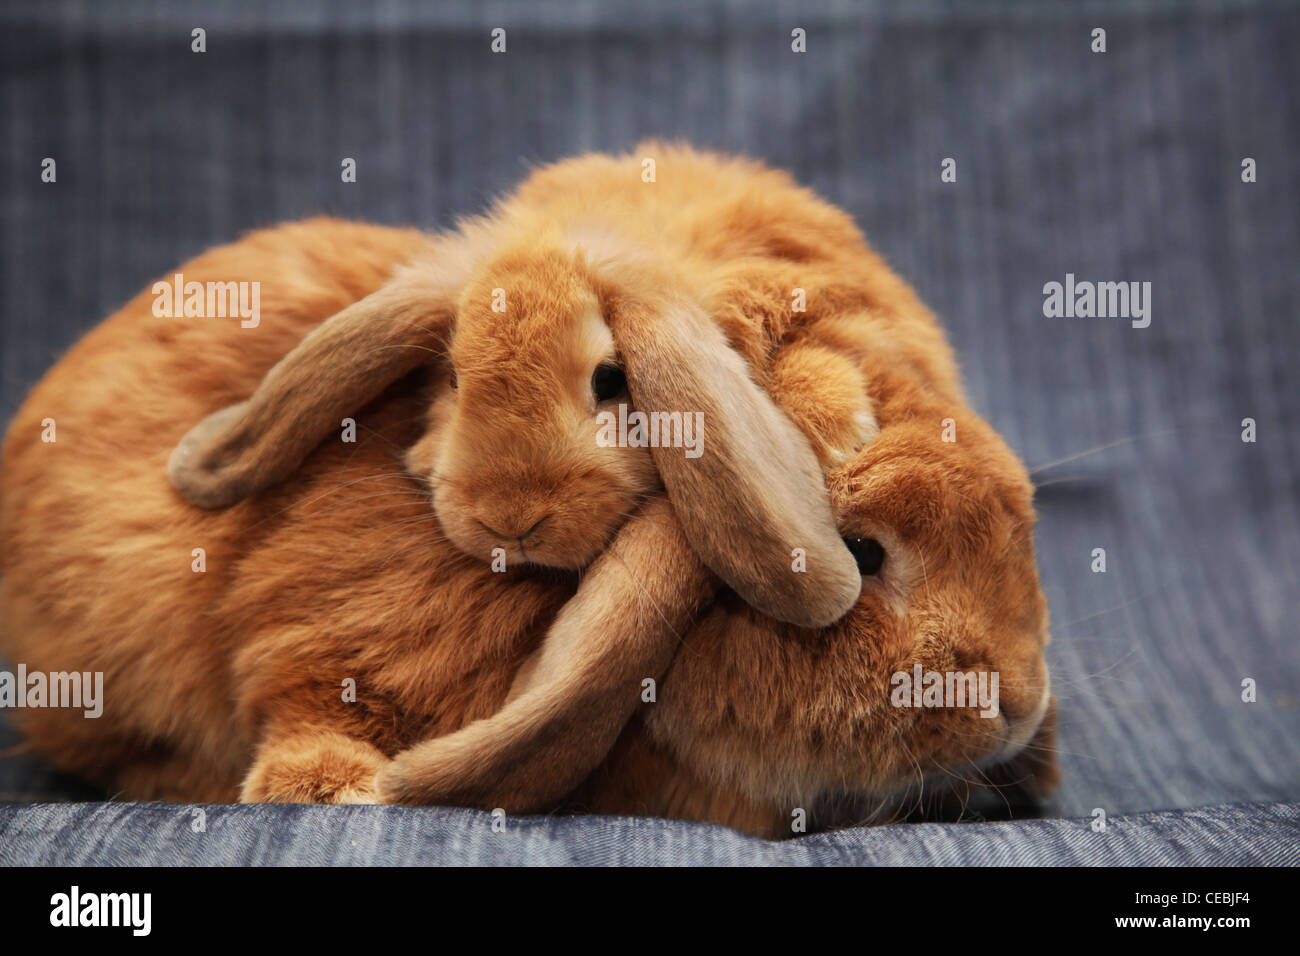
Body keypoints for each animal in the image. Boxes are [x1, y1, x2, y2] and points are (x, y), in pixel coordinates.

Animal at [0, 144, 1057, 836]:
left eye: (614, 380)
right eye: (869, 555)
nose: (1018, 702)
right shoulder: (320, 629)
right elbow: (308, 697)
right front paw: (328, 790)